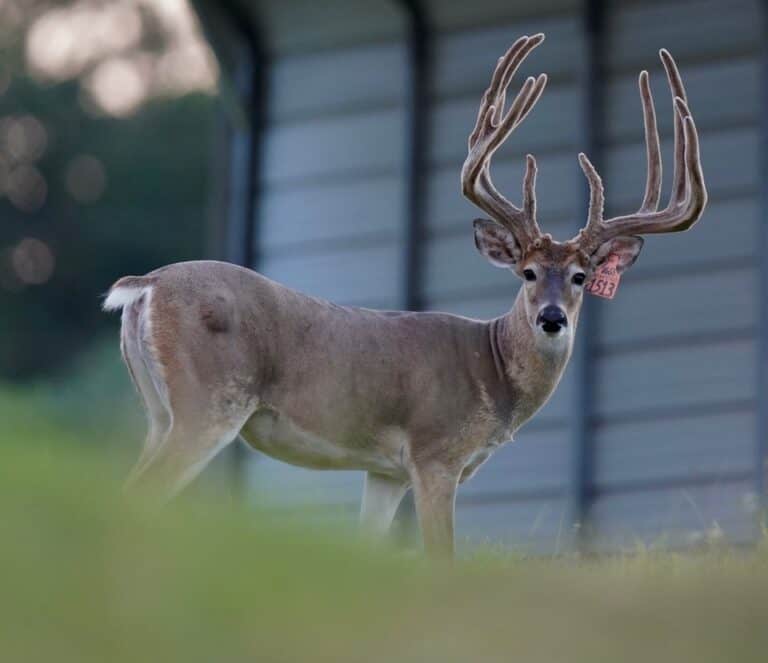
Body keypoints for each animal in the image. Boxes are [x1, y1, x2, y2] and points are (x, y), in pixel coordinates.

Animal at [103, 34, 706, 558]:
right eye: (529, 273)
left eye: (580, 277)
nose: (553, 318)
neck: (493, 369)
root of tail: (146, 285)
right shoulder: (435, 454)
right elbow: (442, 559)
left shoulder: (385, 471)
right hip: (209, 402)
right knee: (137, 496)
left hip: (159, 411)